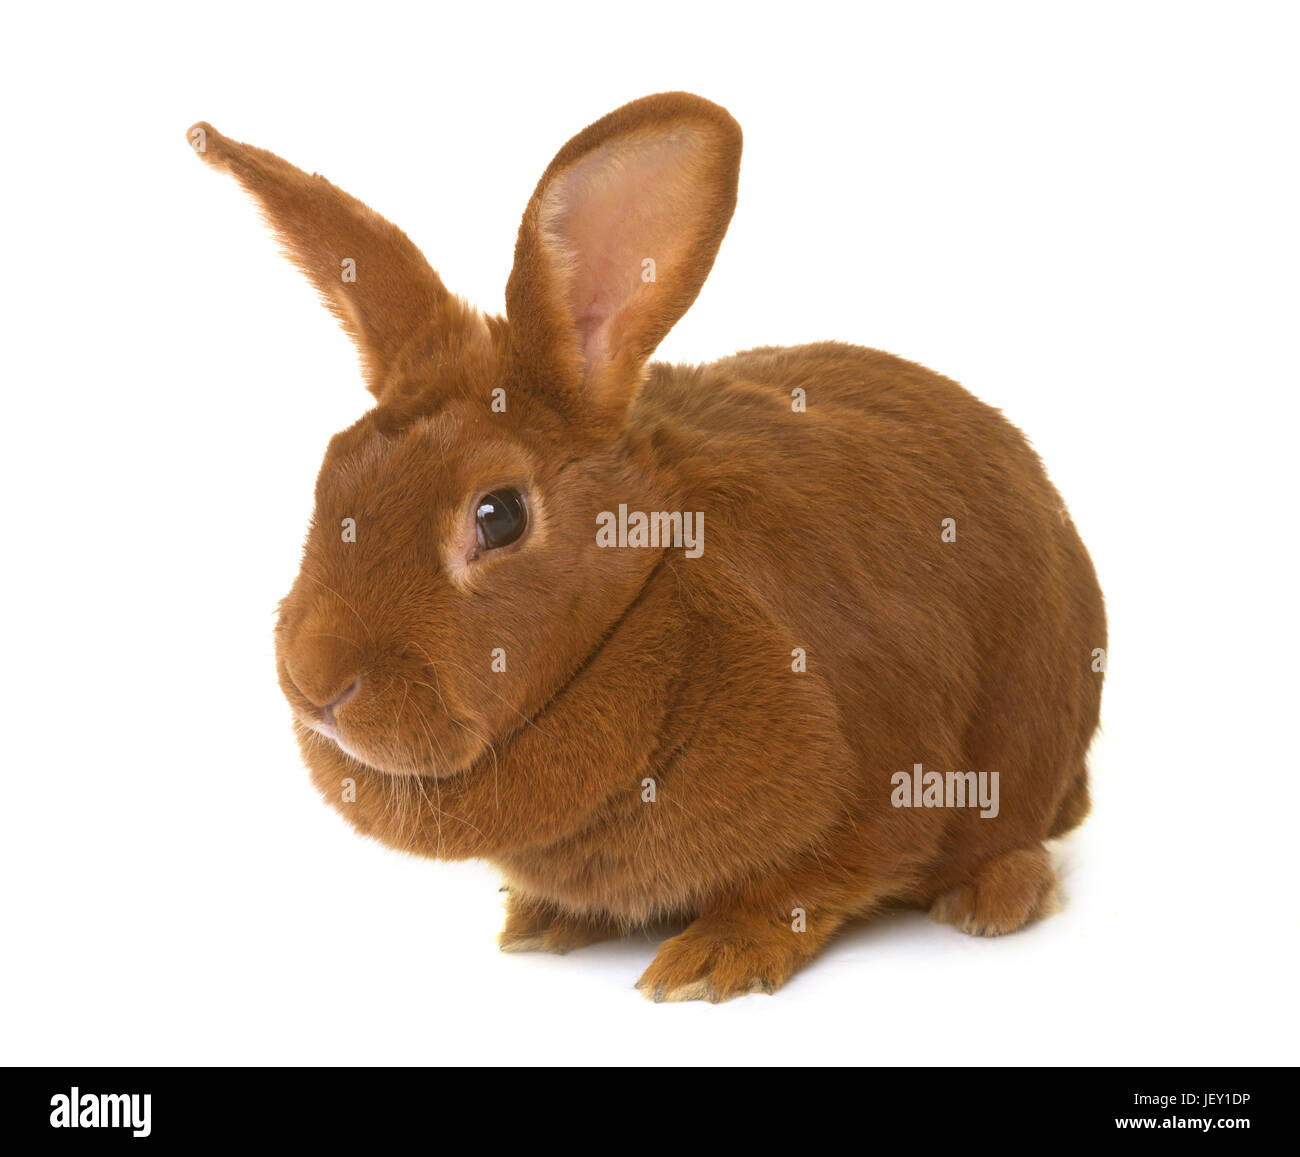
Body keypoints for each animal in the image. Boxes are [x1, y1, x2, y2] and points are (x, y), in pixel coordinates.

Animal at [186, 92, 1105, 1002]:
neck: (641, 597)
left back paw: (990, 899)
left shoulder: (885, 781)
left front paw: (710, 959)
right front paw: (543, 920)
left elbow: (808, 885)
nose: (315, 681)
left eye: (499, 516)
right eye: (331, 469)